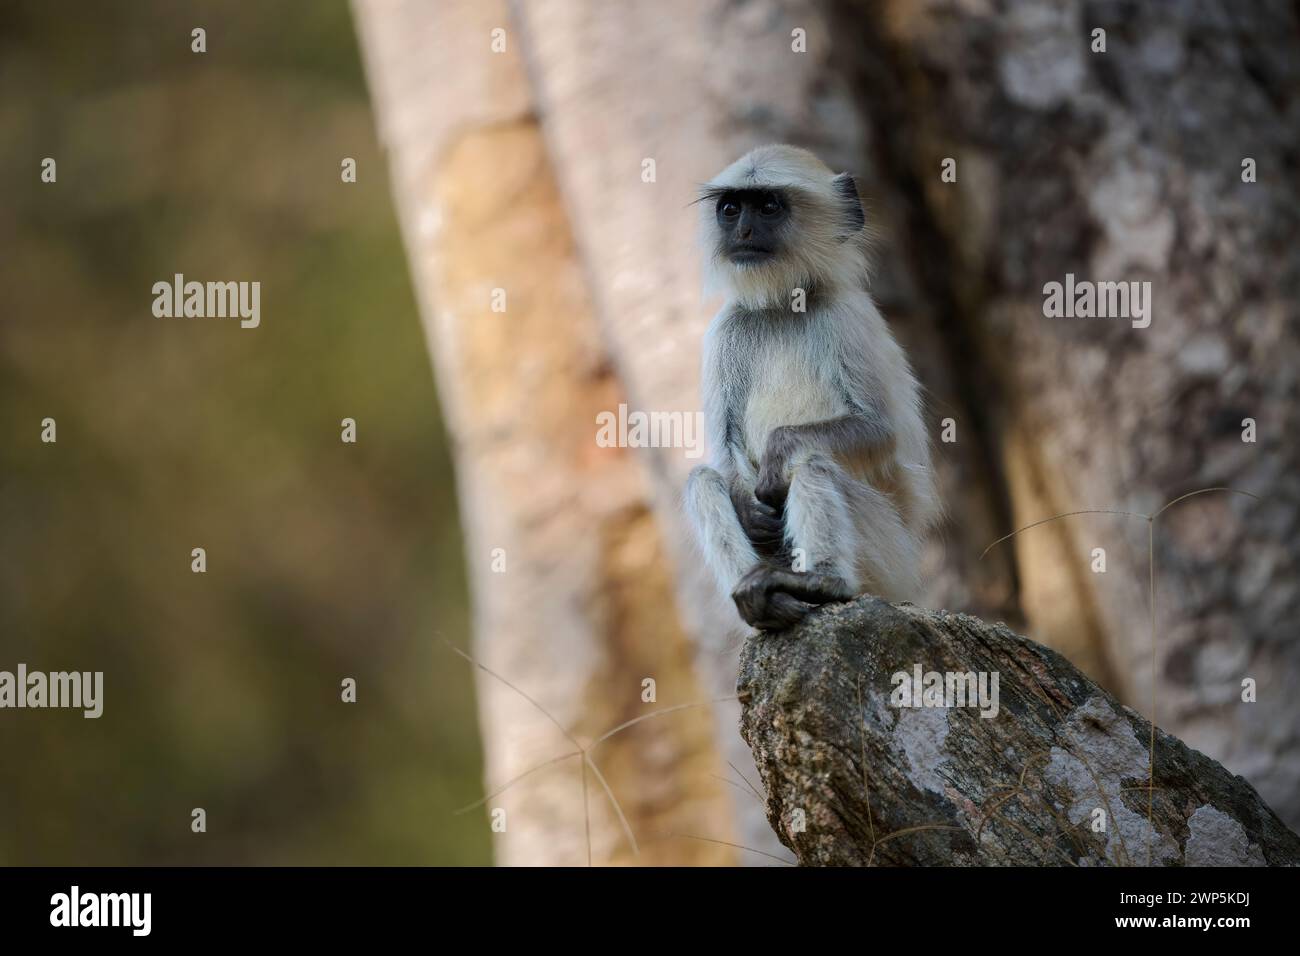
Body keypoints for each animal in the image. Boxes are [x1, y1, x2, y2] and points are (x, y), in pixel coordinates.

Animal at [684, 144, 939, 631]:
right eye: (730, 209)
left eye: (768, 206)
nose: (743, 230)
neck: (784, 305)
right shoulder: (724, 330)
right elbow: (724, 449)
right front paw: (748, 504)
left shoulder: (848, 316)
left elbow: (878, 431)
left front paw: (778, 451)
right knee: (702, 480)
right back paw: (761, 599)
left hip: (889, 559)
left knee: (813, 459)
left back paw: (822, 583)